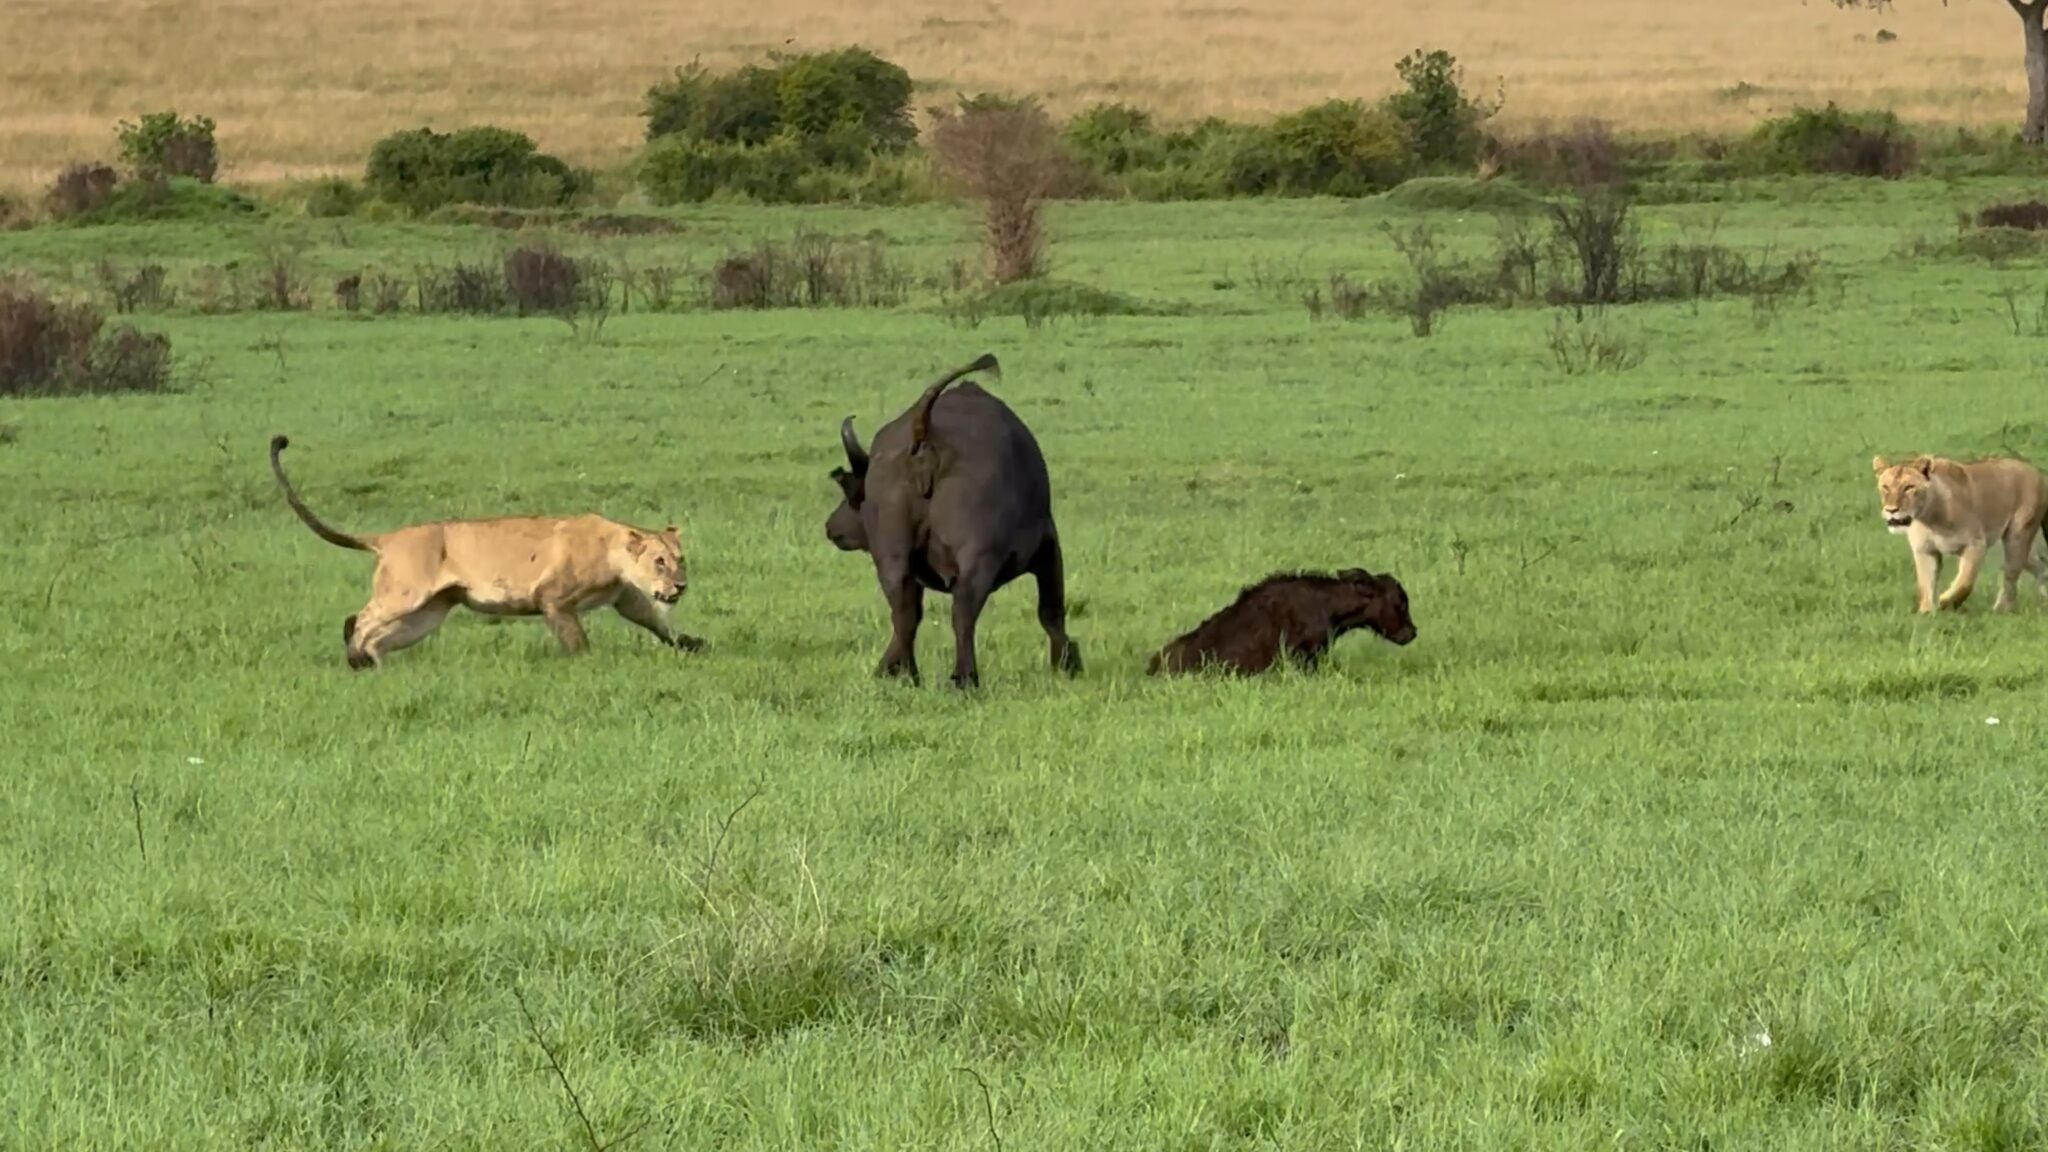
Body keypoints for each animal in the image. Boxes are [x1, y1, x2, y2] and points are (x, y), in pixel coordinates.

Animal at [269, 434, 703, 668]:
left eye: (681, 560)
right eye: (659, 562)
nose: (680, 586)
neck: (615, 553)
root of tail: (390, 537)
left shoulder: (625, 597)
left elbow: (657, 622)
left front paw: (692, 644)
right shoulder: (552, 598)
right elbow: (577, 641)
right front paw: (586, 664)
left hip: (429, 612)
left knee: (381, 636)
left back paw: (374, 665)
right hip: (405, 593)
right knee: (358, 619)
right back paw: (355, 660)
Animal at [825, 353, 1082, 689]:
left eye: (855, 496)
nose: (831, 526)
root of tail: (925, 438)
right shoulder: (1050, 547)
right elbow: (1051, 610)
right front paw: (1067, 661)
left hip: (892, 556)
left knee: (905, 611)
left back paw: (908, 674)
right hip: (979, 555)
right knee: (962, 611)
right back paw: (964, 677)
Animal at [1871, 453, 2048, 613]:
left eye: (1908, 487)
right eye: (1885, 487)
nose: (1891, 510)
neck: (1930, 519)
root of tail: (2036, 472)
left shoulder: (1976, 544)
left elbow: (1965, 582)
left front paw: (1945, 601)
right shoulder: (1925, 550)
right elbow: (1926, 584)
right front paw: (1926, 612)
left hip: (2018, 536)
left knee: (2010, 576)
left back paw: (2000, 610)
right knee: (2039, 565)